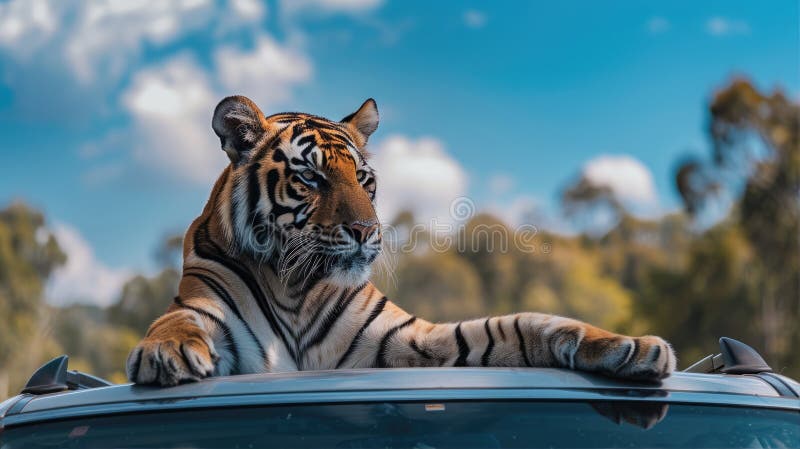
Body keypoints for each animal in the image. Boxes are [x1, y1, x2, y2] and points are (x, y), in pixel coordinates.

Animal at [126, 95, 676, 386]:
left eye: (363, 179)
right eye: (311, 178)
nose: (366, 231)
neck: (295, 288)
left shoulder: (405, 340)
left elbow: (519, 325)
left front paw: (632, 346)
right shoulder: (204, 308)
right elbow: (176, 321)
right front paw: (168, 353)